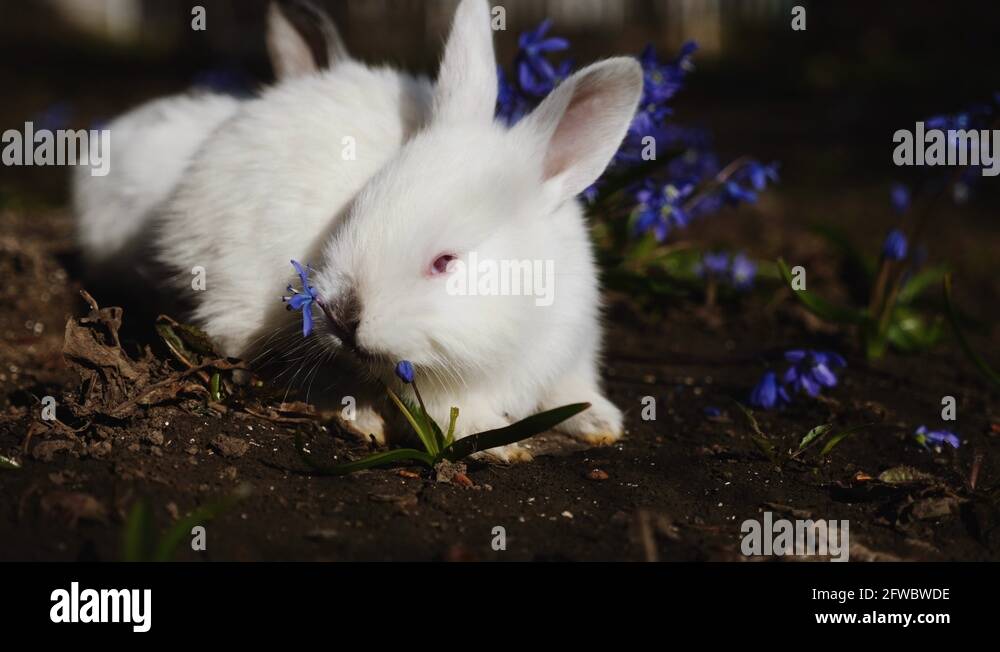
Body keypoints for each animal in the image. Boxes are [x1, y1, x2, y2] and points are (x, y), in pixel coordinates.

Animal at [84, 0, 642, 462]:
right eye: (357, 210)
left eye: (445, 261)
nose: (342, 316)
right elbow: (458, 415)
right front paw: (502, 444)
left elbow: (572, 390)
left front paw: (601, 421)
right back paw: (363, 419)